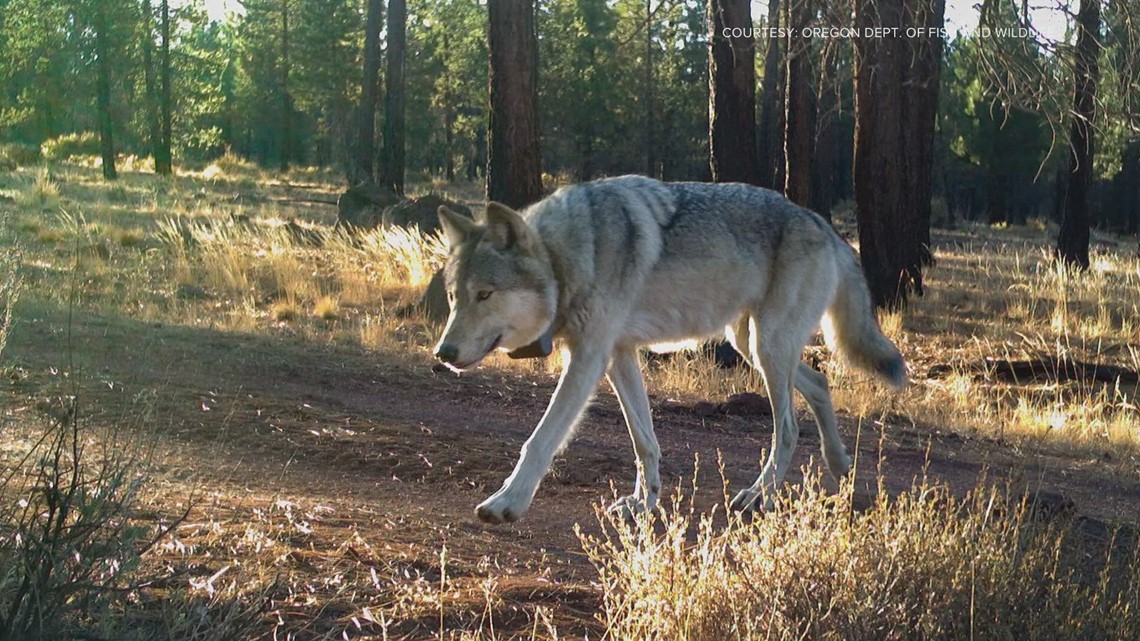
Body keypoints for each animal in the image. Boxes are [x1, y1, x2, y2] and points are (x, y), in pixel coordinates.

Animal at [433, 175, 906, 524]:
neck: (566, 257)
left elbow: (541, 439)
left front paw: (505, 502)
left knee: (788, 427)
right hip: (753, 345)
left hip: (767, 347)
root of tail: (822, 223)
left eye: (485, 294)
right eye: (454, 296)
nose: (443, 352)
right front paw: (643, 503)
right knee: (820, 383)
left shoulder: (587, 358)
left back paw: (759, 495)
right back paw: (840, 464)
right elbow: (644, 440)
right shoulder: (618, 355)